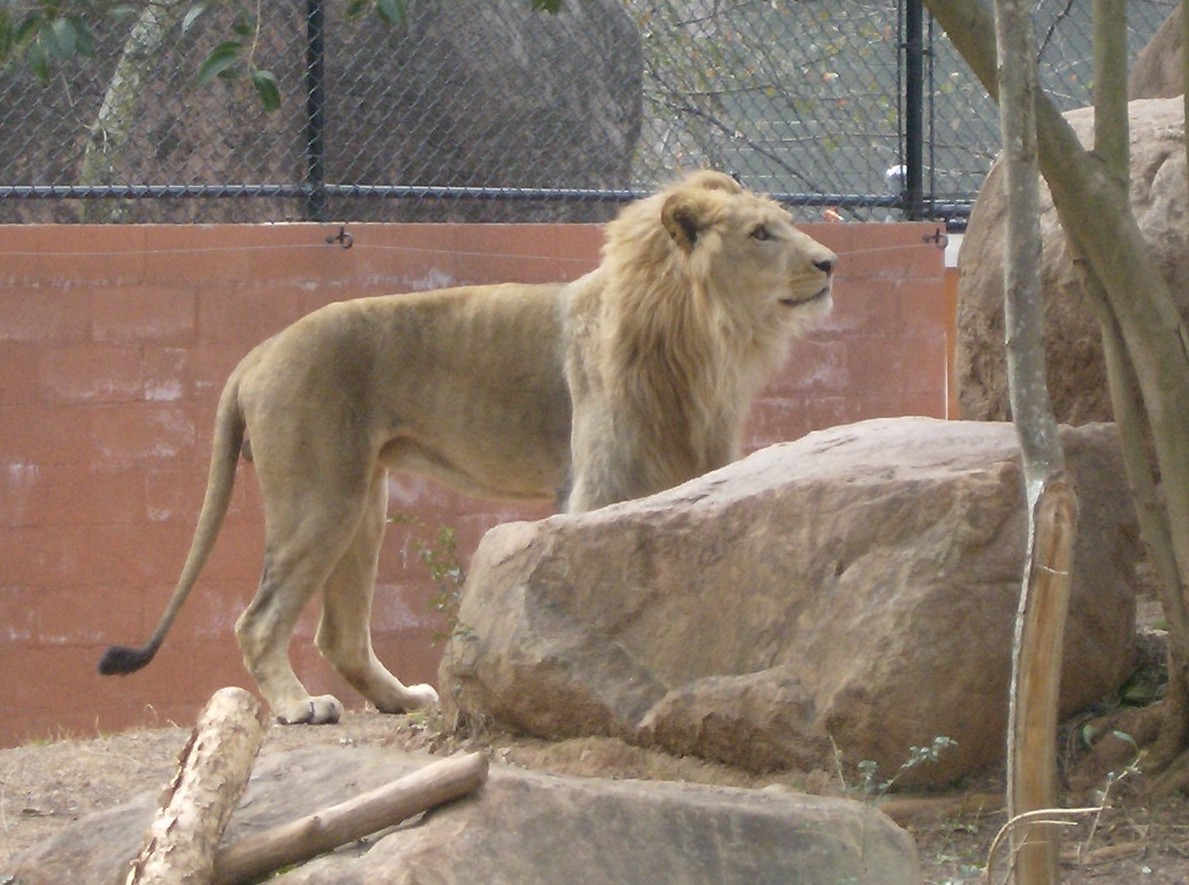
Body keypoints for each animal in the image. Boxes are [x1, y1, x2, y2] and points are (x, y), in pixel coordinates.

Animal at [98, 170, 836, 725]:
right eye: (761, 233)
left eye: (781, 223)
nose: (830, 261)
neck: (704, 340)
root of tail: (257, 352)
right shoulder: (598, 481)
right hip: (319, 498)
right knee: (257, 620)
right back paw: (296, 704)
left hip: (361, 499)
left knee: (340, 633)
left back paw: (401, 698)